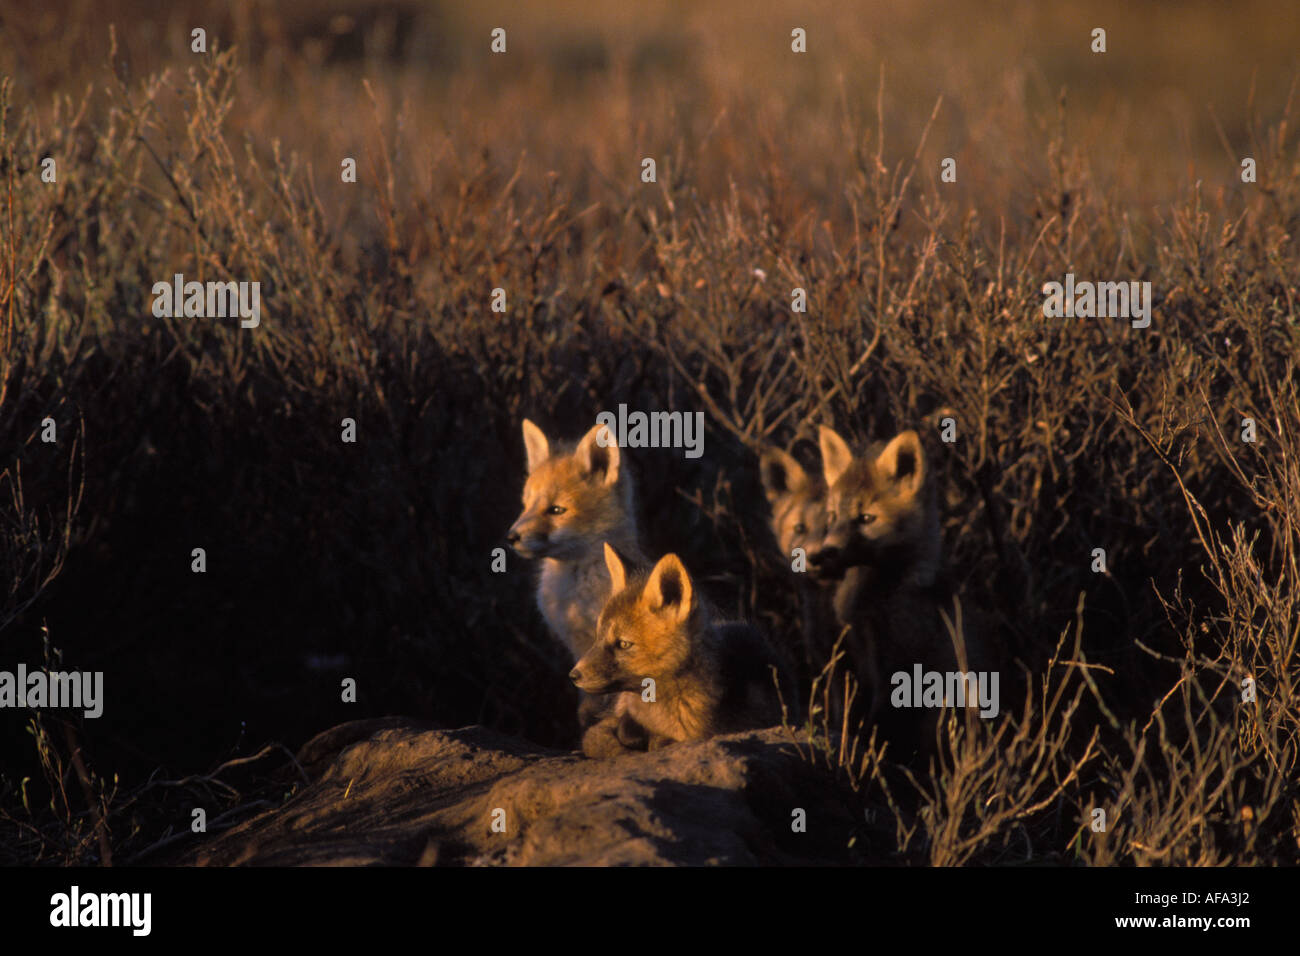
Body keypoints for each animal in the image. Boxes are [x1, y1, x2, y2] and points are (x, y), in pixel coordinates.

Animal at [807, 426, 989, 746]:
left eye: (866, 518)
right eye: (833, 516)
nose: (823, 553)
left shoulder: (897, 667)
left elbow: (878, 723)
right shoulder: (858, 654)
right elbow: (852, 713)